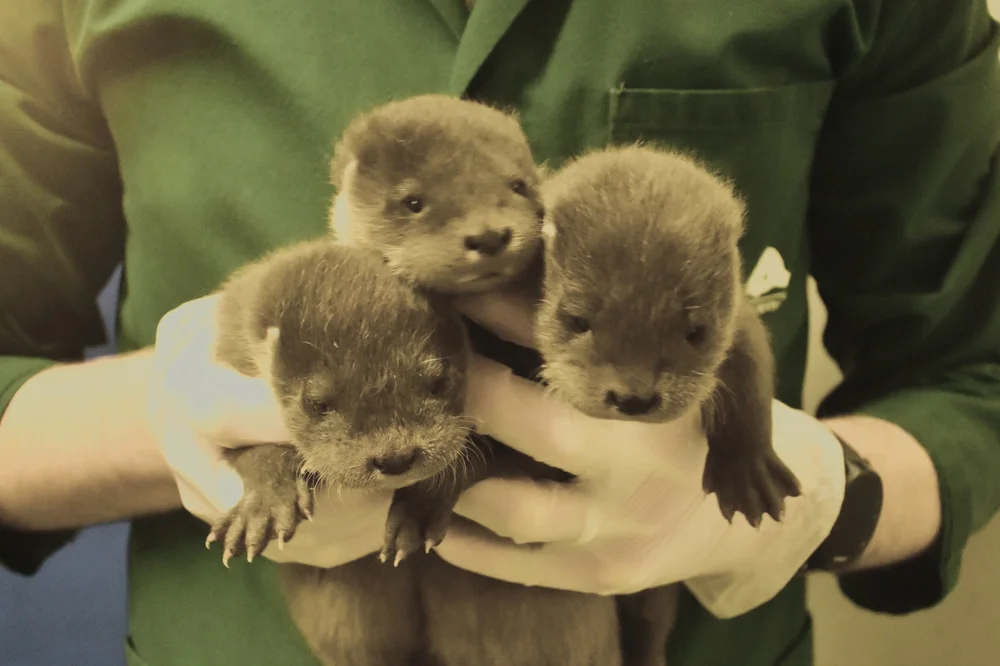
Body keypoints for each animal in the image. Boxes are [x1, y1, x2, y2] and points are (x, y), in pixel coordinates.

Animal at [534, 143, 803, 665]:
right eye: (577, 319)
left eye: (694, 331)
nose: (633, 396)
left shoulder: (741, 324)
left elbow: (752, 377)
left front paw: (748, 471)